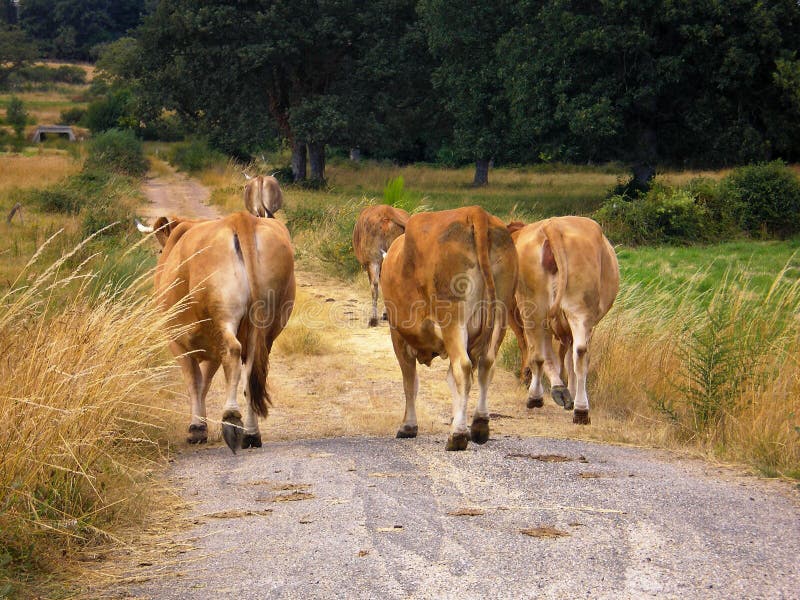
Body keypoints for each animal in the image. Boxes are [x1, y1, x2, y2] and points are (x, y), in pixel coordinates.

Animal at [137, 212, 295, 452]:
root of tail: (240, 218)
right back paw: (251, 434)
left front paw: (196, 428)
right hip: (265, 327)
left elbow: (194, 382)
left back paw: (231, 417)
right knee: (252, 372)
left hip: (223, 315)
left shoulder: (176, 339)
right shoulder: (211, 347)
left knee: (232, 352)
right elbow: (205, 382)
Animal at [380, 206, 518, 450]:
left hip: (453, 319)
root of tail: (474, 212)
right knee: (486, 366)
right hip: (500, 314)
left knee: (463, 367)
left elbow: (410, 383)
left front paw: (408, 426)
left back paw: (457, 437)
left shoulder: (398, 336)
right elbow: (451, 381)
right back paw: (479, 425)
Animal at [507, 216, 618, 424]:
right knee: (579, 354)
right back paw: (579, 408)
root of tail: (553, 226)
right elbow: (566, 360)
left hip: (534, 308)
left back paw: (540, 396)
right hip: (577, 310)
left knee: (540, 352)